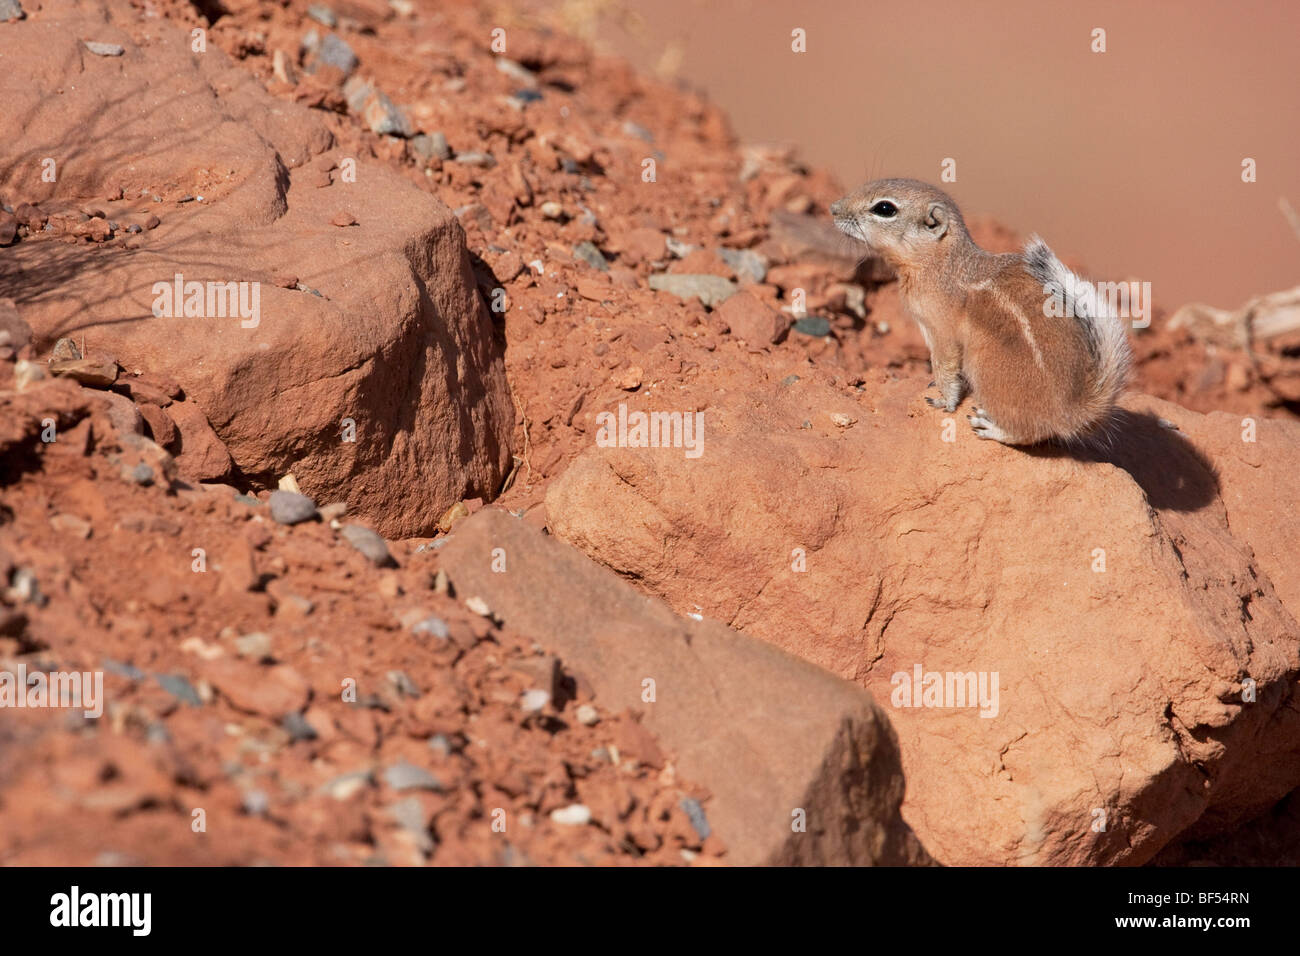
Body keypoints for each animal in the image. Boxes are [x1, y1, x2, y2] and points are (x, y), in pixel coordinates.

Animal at [830, 178, 1131, 445]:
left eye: (884, 208)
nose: (833, 208)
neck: (940, 262)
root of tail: (1073, 411)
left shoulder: (940, 333)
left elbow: (945, 367)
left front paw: (944, 400)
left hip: (983, 368)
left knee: (1029, 433)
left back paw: (992, 428)